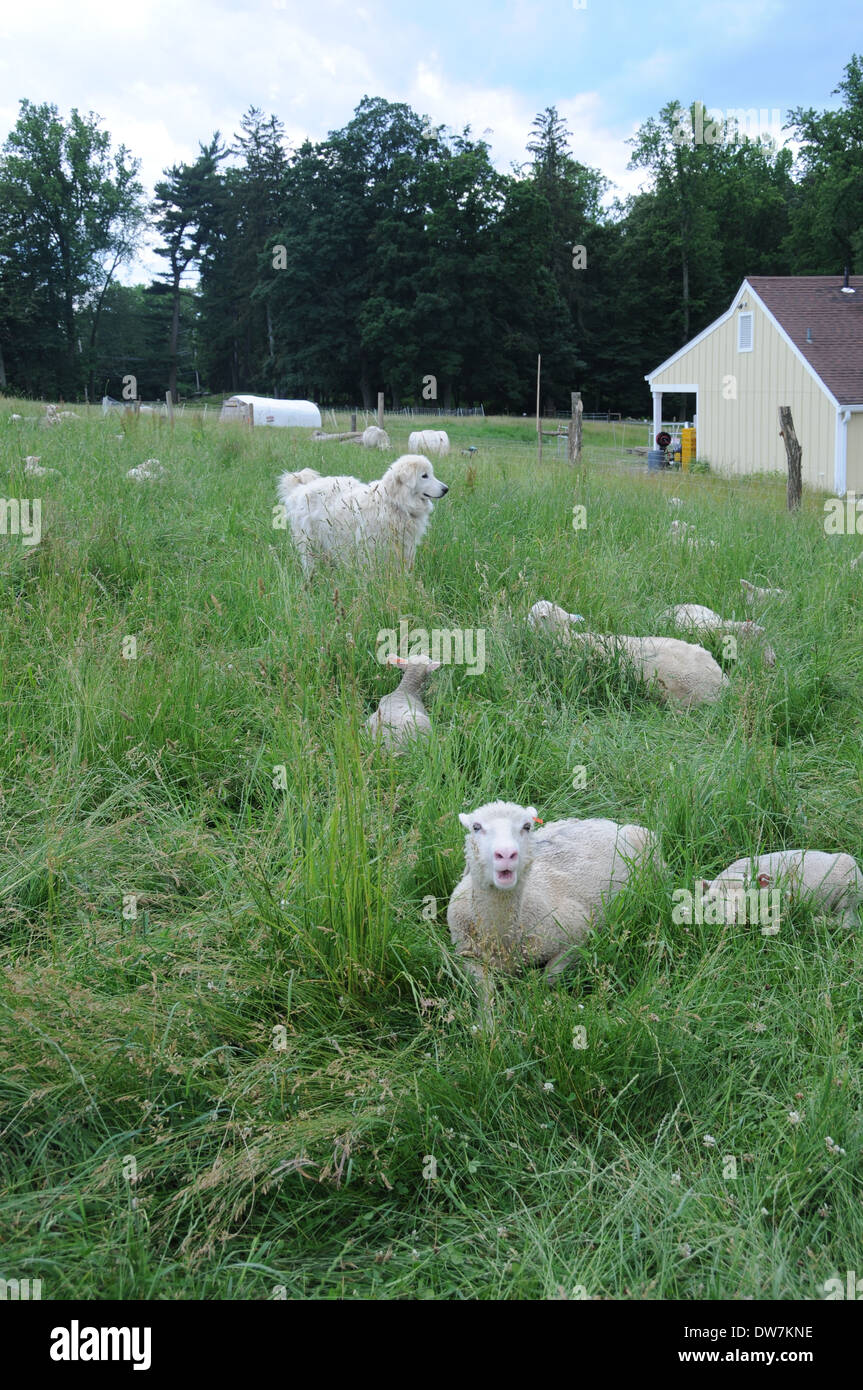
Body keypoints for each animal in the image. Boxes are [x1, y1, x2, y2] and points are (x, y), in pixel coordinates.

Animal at [447, 801, 661, 1009]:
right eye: (476, 827)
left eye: (527, 826)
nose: (506, 854)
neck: (501, 941)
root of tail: (607, 822)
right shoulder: (464, 952)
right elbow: (485, 990)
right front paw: (487, 1019)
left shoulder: (577, 934)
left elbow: (548, 978)